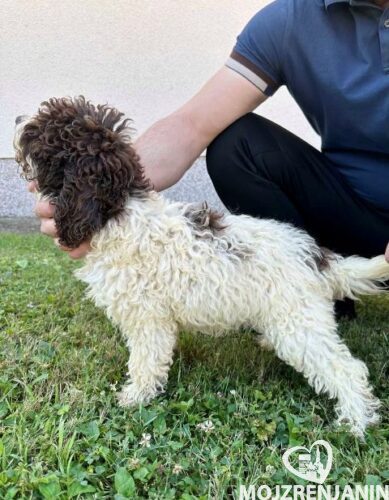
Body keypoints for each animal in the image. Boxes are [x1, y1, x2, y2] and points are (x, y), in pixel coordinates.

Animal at [13, 95, 386, 436]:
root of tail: (316, 257)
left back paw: (356, 422)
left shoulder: (148, 318)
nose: (16, 118)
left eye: (39, 132)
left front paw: (135, 397)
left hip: (298, 322)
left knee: (347, 368)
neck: (118, 211)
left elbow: (146, 360)